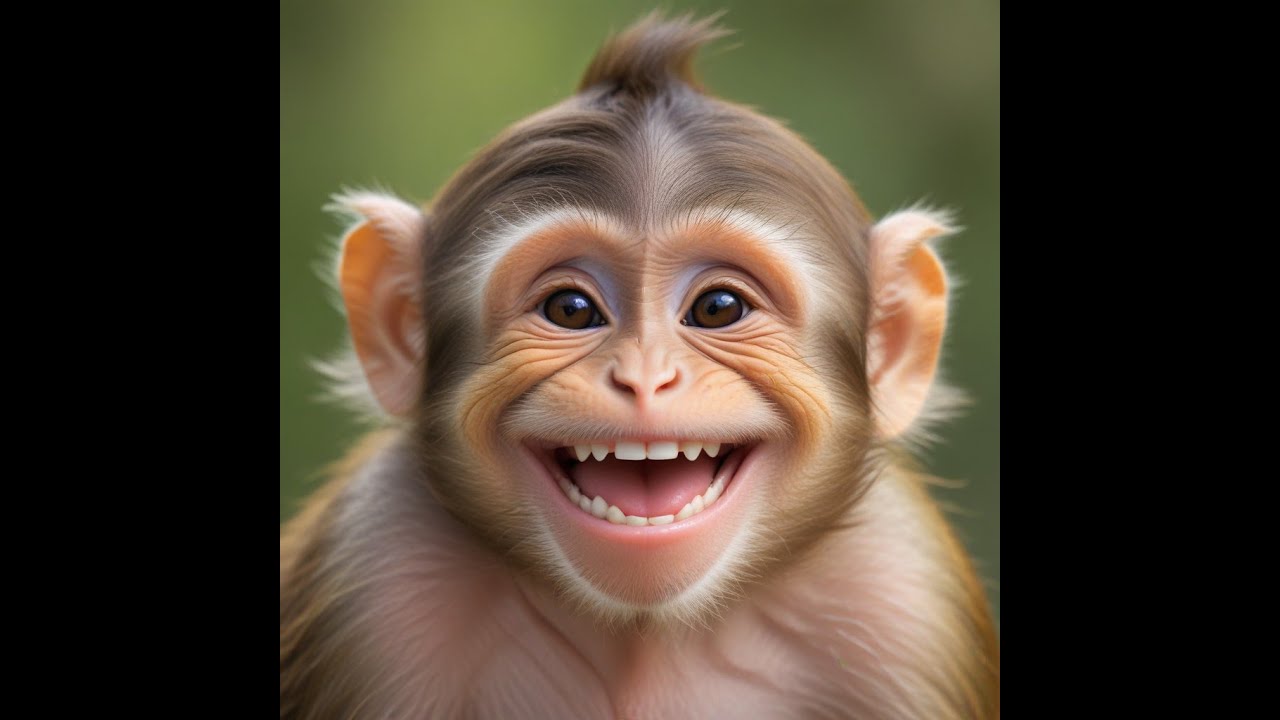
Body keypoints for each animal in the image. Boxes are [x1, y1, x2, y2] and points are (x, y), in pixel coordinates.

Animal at [281, 12, 998, 719]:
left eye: (718, 307)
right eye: (570, 309)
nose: (646, 376)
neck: (644, 633)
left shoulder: (903, 595)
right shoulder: (373, 565)